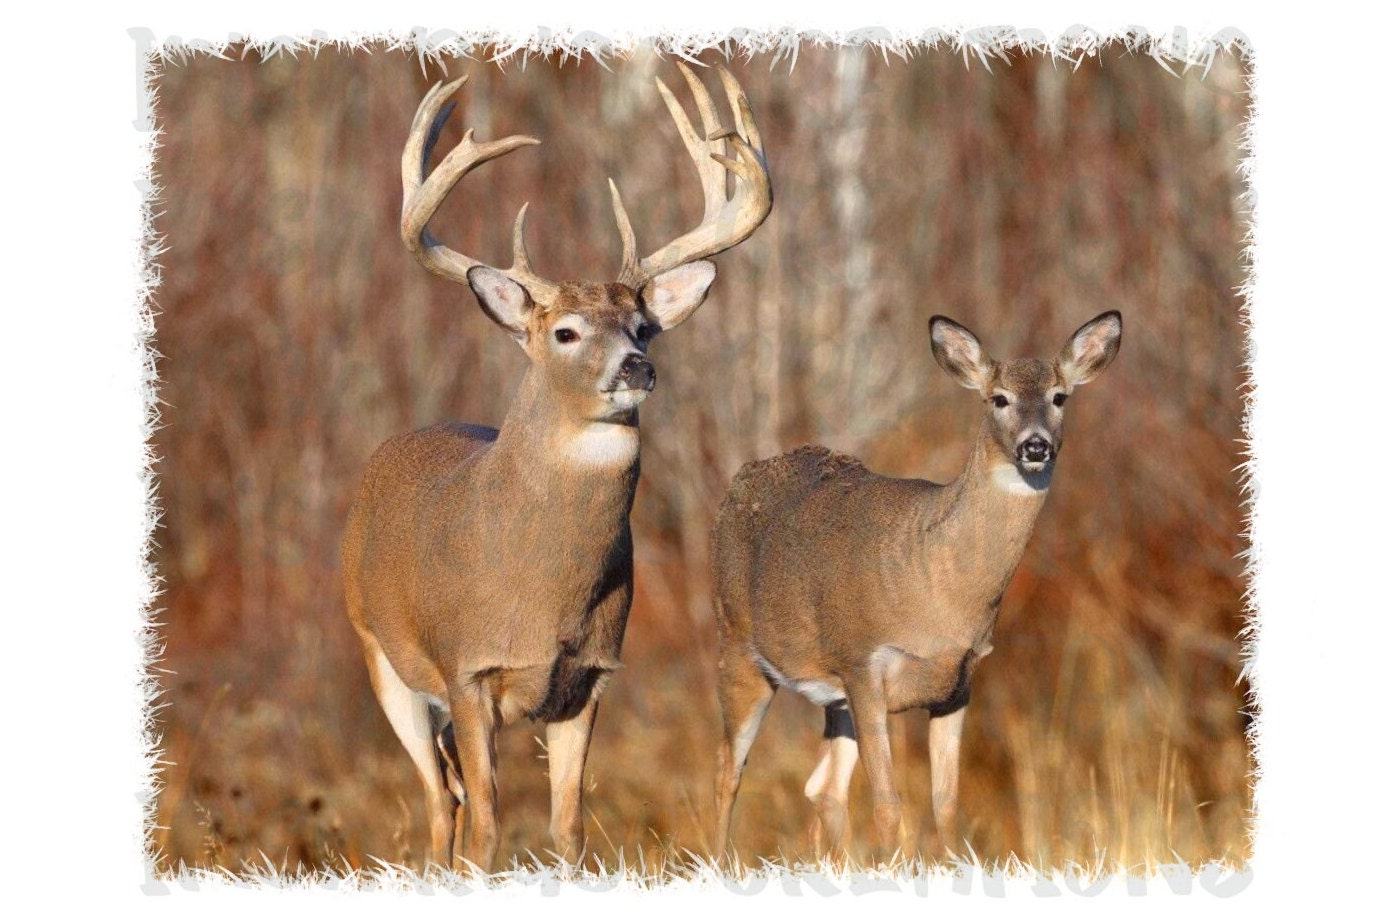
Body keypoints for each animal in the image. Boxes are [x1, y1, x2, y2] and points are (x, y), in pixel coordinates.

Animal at [342, 62, 771, 873]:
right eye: (566, 332)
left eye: (643, 326)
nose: (637, 366)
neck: (542, 594)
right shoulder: (469, 670)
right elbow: (487, 831)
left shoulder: (590, 678)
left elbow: (568, 828)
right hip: (383, 659)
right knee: (441, 804)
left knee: (447, 795)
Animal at [709, 310, 1122, 862]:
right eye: (999, 398)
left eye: (1060, 397)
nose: (1035, 445)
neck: (938, 589)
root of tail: (739, 482)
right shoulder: (863, 664)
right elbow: (888, 805)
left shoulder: (958, 683)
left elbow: (944, 803)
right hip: (739, 646)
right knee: (727, 770)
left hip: (833, 699)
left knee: (823, 788)